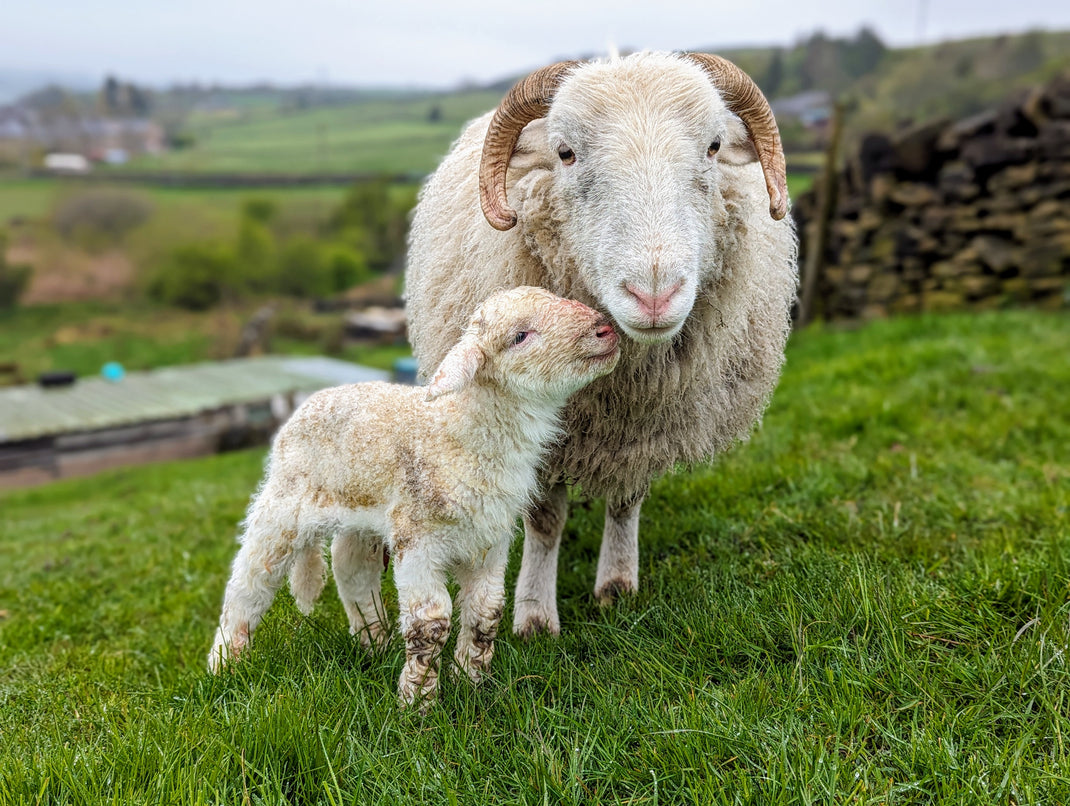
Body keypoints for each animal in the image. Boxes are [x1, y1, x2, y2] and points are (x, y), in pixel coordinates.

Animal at [207, 286, 620, 707]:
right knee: (250, 580)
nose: (605, 330)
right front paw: (418, 704)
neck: (461, 433)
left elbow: (486, 612)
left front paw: (471, 683)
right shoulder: (418, 539)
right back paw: (225, 661)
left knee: (350, 567)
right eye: (520, 336)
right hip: (284, 504)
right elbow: (431, 621)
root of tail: (303, 406)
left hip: (362, 510)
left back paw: (374, 640)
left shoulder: (490, 540)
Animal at [405, 51, 798, 637]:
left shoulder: (644, 426)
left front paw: (616, 586)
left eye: (713, 147)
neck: (621, 384)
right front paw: (534, 616)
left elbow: (627, 501)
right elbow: (546, 520)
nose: (653, 294)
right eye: (565, 153)